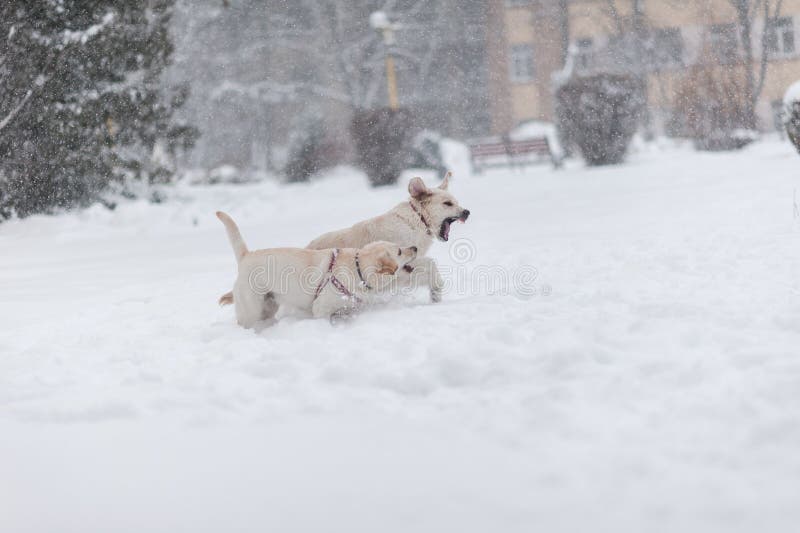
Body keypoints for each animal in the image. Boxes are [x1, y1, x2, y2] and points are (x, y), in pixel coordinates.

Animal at [219, 210, 418, 326]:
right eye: (399, 251)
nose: (415, 248)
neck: (358, 269)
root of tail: (246, 255)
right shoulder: (321, 309)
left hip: (268, 305)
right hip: (251, 310)